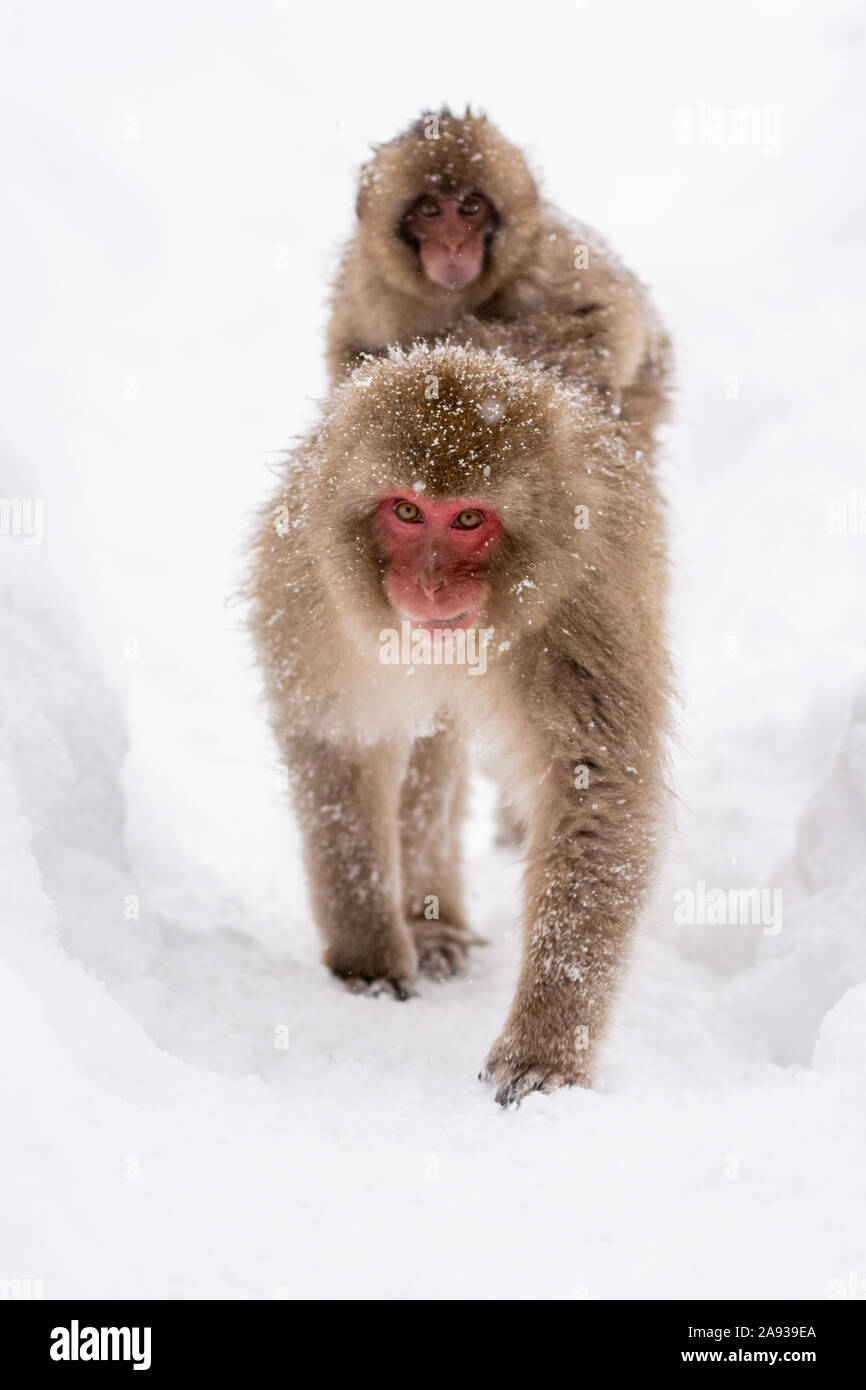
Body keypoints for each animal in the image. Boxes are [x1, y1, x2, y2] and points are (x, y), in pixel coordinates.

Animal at [249, 342, 670, 1105]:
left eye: (469, 520)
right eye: (407, 511)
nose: (431, 583)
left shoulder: (583, 607)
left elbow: (594, 785)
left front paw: (545, 1049)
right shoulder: (313, 587)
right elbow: (339, 739)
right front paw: (368, 952)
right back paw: (426, 924)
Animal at [326, 108, 672, 434]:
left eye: (471, 207)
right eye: (429, 210)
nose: (453, 243)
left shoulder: (548, 255)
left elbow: (611, 318)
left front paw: (460, 339)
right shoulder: (363, 289)